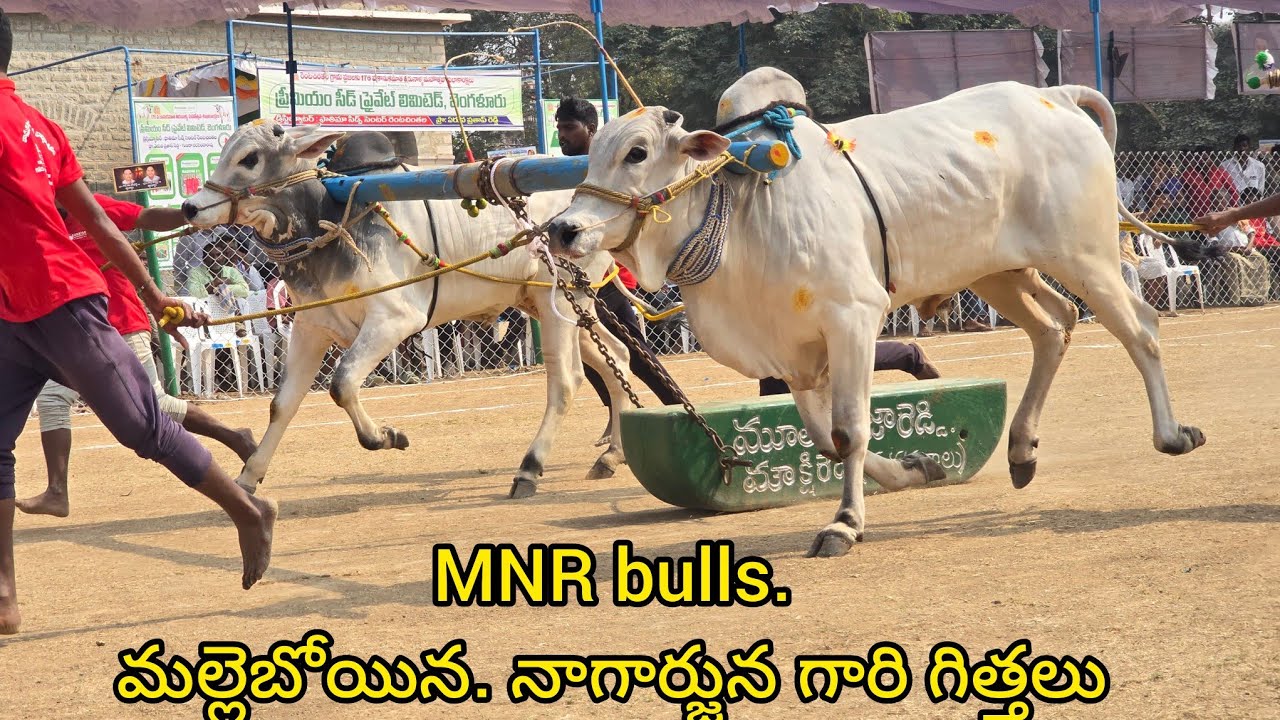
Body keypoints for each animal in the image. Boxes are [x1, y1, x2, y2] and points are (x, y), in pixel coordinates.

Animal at [182, 123, 636, 499]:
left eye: (249, 158)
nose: (190, 207)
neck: (331, 215)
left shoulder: (393, 319)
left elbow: (342, 385)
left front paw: (385, 436)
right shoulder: (311, 326)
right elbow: (282, 404)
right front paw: (248, 476)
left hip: (557, 302)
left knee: (567, 380)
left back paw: (530, 468)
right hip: (556, 305)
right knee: (618, 357)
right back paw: (613, 453)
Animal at [546, 68, 1206, 557]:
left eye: (637, 152)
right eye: (589, 157)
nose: (563, 229)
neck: (742, 211)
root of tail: (1057, 95)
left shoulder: (853, 318)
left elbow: (850, 429)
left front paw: (844, 523)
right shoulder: (792, 351)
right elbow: (825, 439)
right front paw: (914, 470)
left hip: (1085, 254)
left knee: (1140, 329)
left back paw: (1173, 434)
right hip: (998, 272)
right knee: (1055, 325)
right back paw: (1022, 449)